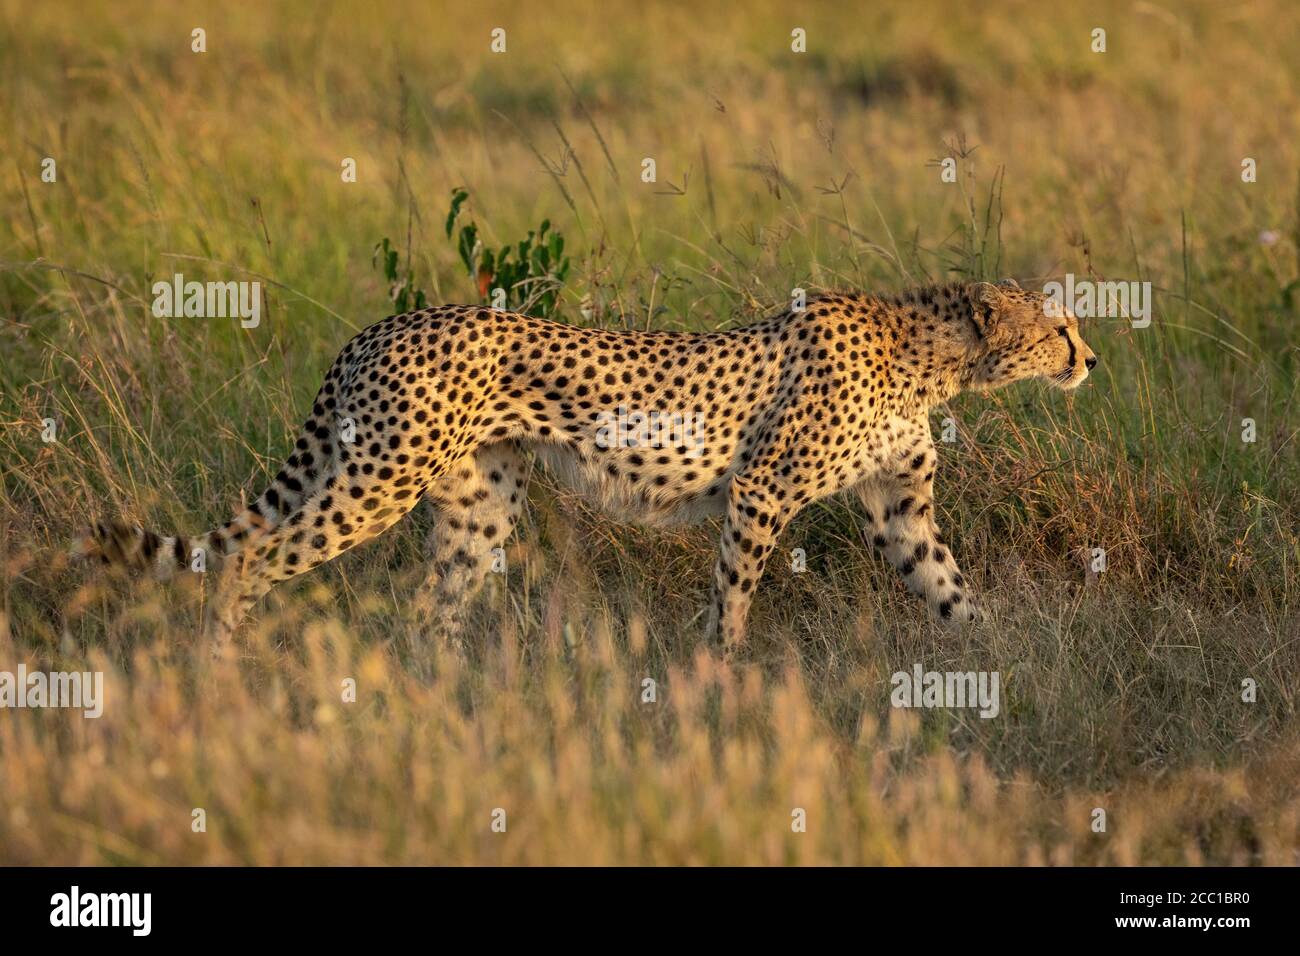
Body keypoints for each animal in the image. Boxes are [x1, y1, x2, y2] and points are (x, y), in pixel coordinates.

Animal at [78, 278, 1097, 646]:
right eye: (1059, 328)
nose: (1089, 358)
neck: (934, 354)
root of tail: (385, 322)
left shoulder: (900, 506)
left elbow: (950, 587)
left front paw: (1004, 661)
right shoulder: (762, 491)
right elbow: (736, 593)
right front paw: (722, 674)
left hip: (475, 505)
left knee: (432, 605)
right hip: (380, 477)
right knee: (253, 555)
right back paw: (224, 663)